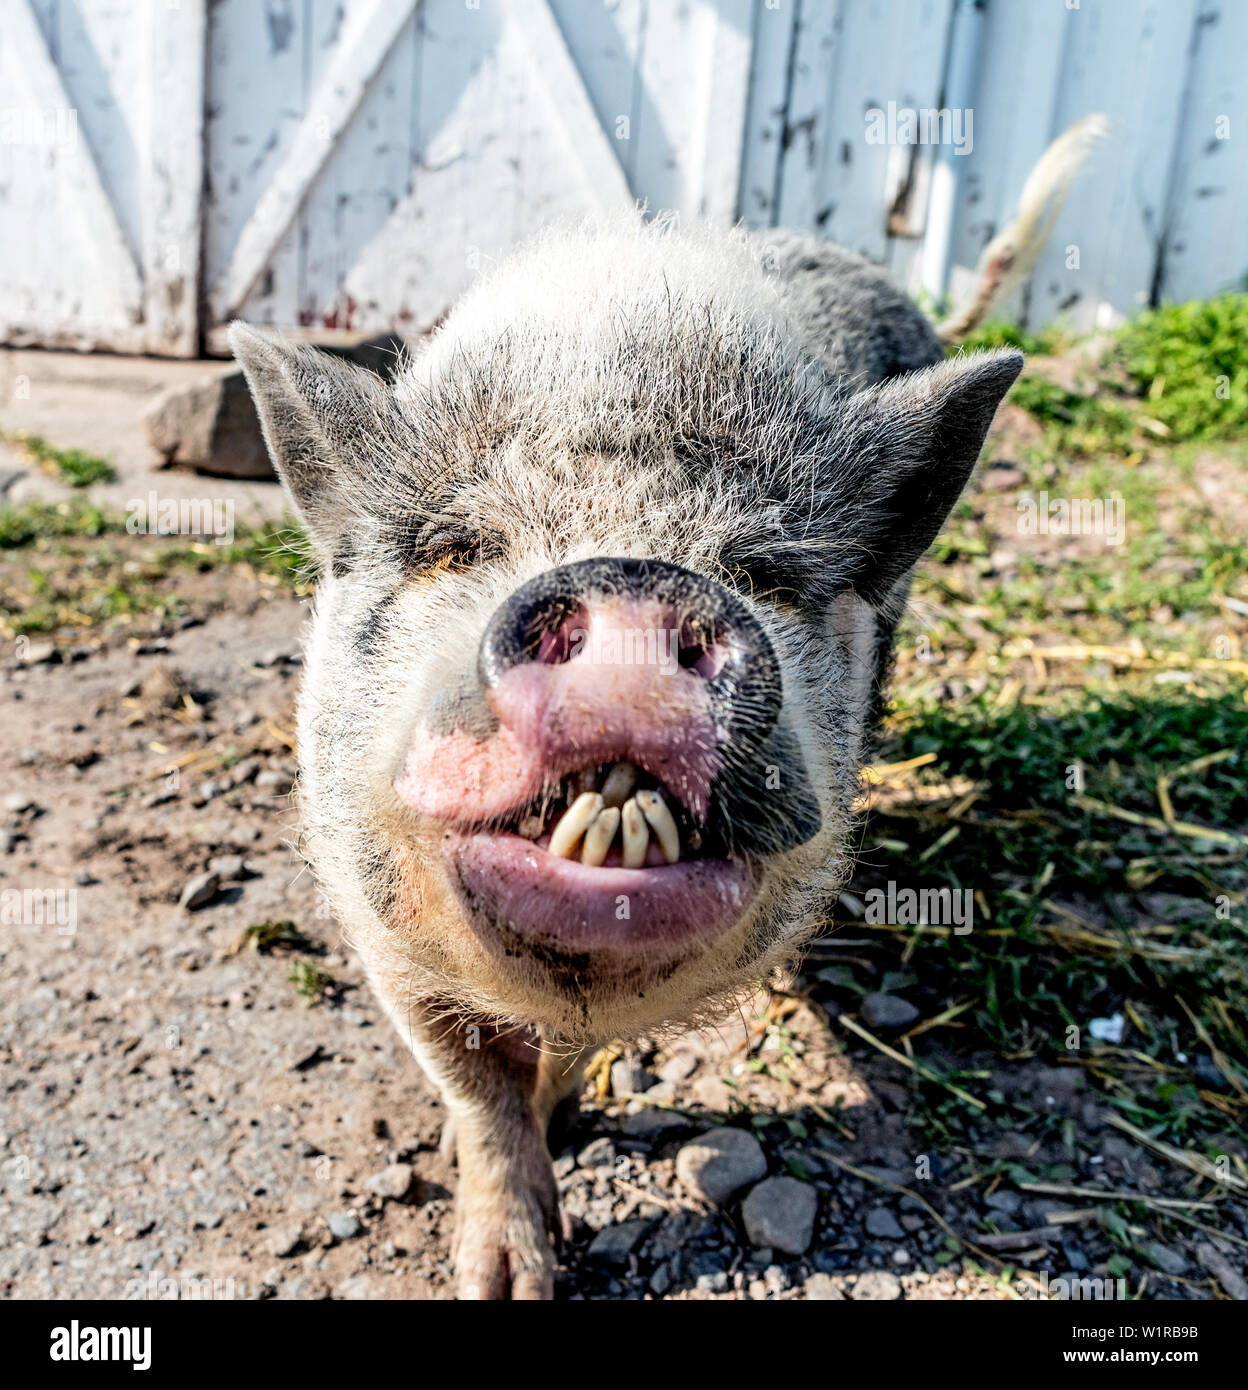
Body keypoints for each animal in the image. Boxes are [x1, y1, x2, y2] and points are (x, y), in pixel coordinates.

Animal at [231, 121, 1101, 1300]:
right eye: (456, 547)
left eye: (767, 573)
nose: (637, 585)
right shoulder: (381, 931)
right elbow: (472, 1085)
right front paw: (500, 1277)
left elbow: (562, 1061)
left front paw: (562, 1130)